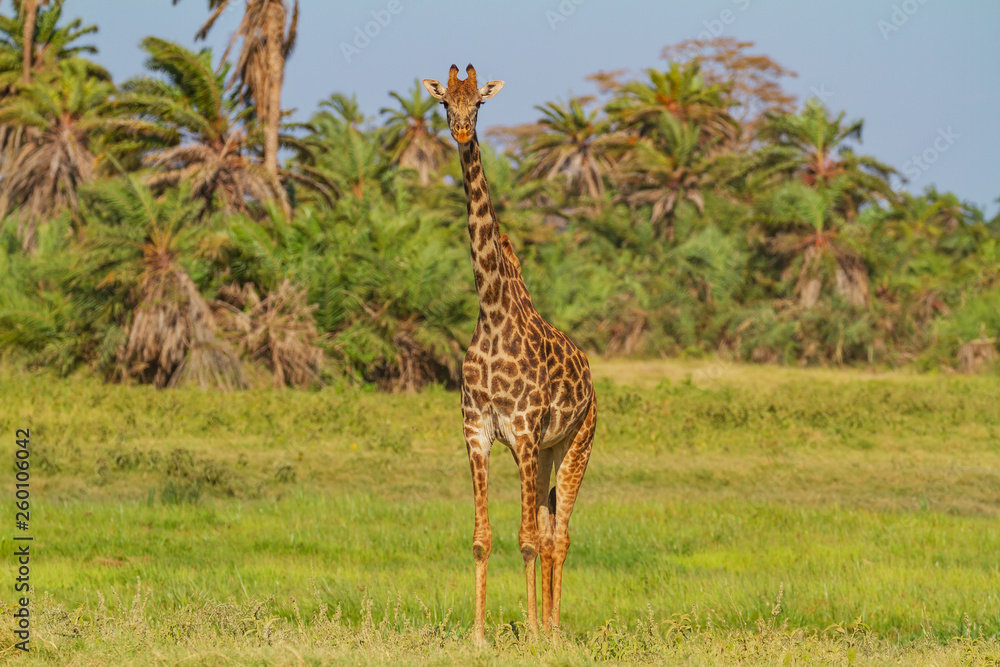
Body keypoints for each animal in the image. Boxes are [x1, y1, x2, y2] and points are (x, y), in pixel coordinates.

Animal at [422, 64, 597, 644]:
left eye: (479, 102)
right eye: (443, 102)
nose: (460, 131)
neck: (493, 315)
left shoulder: (521, 432)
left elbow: (526, 540)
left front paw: (534, 634)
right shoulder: (477, 432)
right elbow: (484, 537)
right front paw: (478, 634)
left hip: (576, 443)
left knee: (558, 536)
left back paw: (555, 629)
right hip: (544, 452)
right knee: (548, 528)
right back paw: (547, 623)